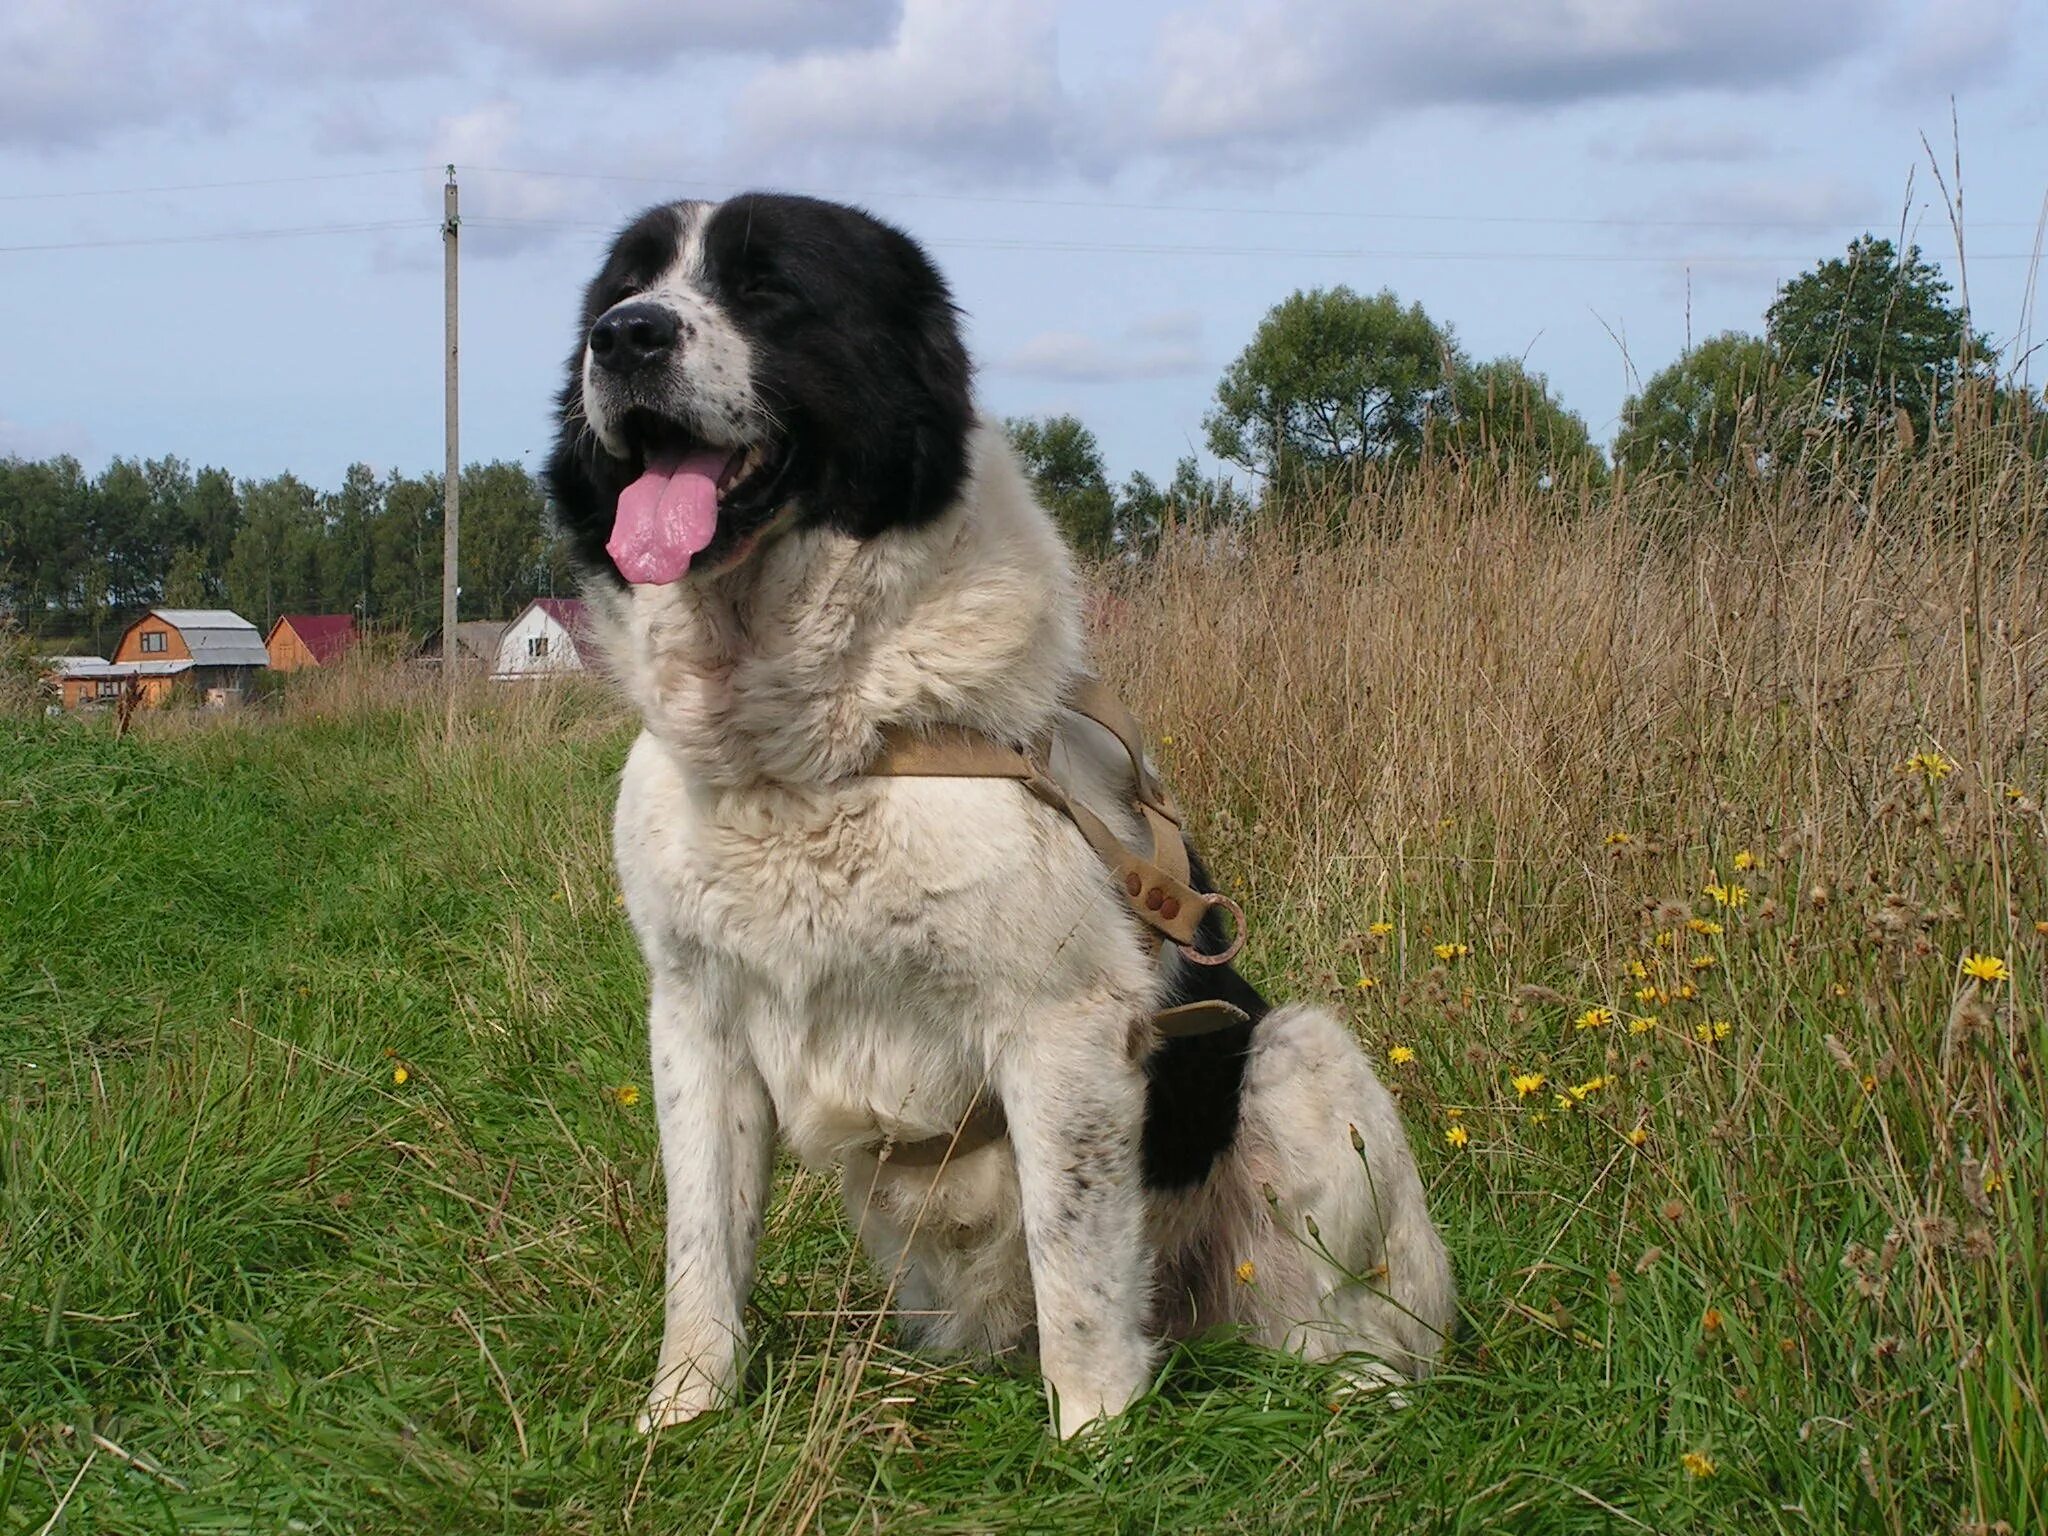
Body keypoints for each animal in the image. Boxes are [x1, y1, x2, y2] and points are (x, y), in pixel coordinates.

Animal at [536, 195, 1449, 1441]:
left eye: (766, 289)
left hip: (1299, 1058)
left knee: (1351, 1321)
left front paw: (1091, 1433)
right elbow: (702, 1242)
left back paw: (1350, 1387)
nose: (625, 337)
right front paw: (685, 1410)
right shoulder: (694, 1019)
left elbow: (1078, 1264)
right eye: (620, 289)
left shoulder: (1060, 1028)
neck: (805, 751)